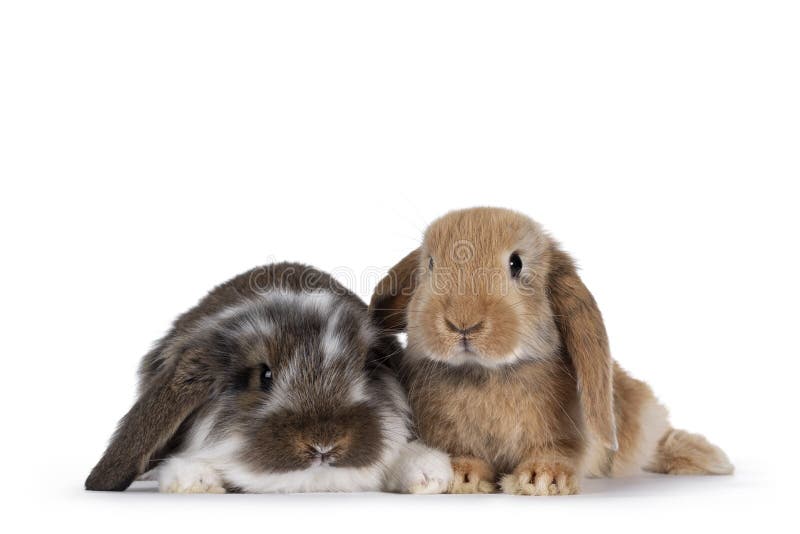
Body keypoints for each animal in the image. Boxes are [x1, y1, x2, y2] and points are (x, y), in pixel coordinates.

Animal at [369, 207, 733, 496]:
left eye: (516, 263)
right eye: (431, 264)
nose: (463, 323)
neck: (486, 373)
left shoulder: (566, 435)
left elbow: (557, 452)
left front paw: (543, 479)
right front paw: (463, 474)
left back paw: (709, 457)